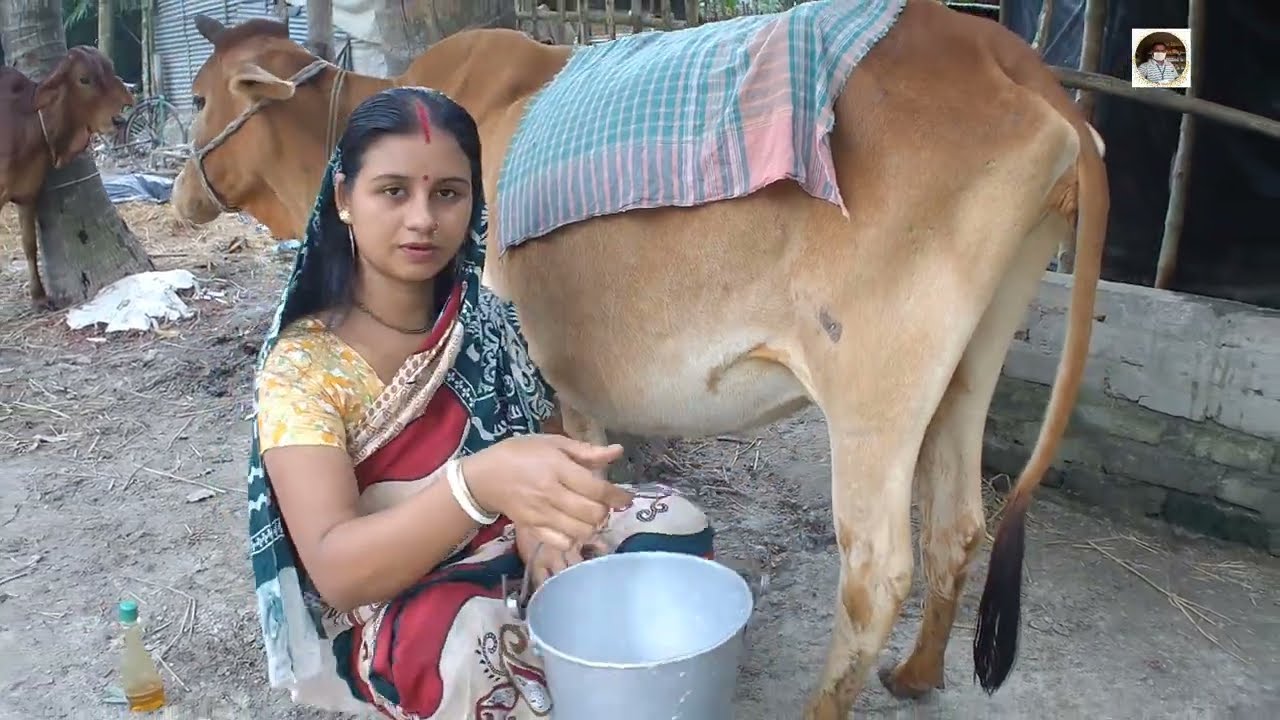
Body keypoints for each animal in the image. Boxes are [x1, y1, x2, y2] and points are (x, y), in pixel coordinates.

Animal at [0, 46, 134, 308]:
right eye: (84, 79)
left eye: (109, 72)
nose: (118, 120)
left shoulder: (27, 195)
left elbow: (29, 245)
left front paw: (39, 297)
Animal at [171, 2, 1108, 717]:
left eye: (200, 95)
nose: (179, 195)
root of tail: (1010, 59)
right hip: (967, 364)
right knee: (958, 526)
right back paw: (915, 675)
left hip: (874, 386)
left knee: (879, 573)